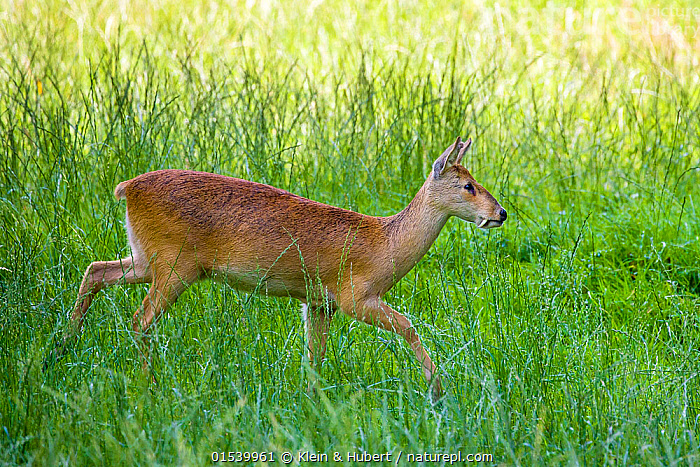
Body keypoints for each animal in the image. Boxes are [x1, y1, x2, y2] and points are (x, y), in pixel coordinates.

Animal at [47, 136, 506, 400]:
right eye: (468, 185)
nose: (500, 213)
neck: (383, 245)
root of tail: (126, 188)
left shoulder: (319, 301)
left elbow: (315, 354)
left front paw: (313, 401)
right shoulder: (354, 296)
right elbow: (409, 325)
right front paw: (438, 390)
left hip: (148, 258)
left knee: (96, 270)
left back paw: (63, 347)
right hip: (174, 265)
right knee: (140, 318)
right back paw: (150, 386)